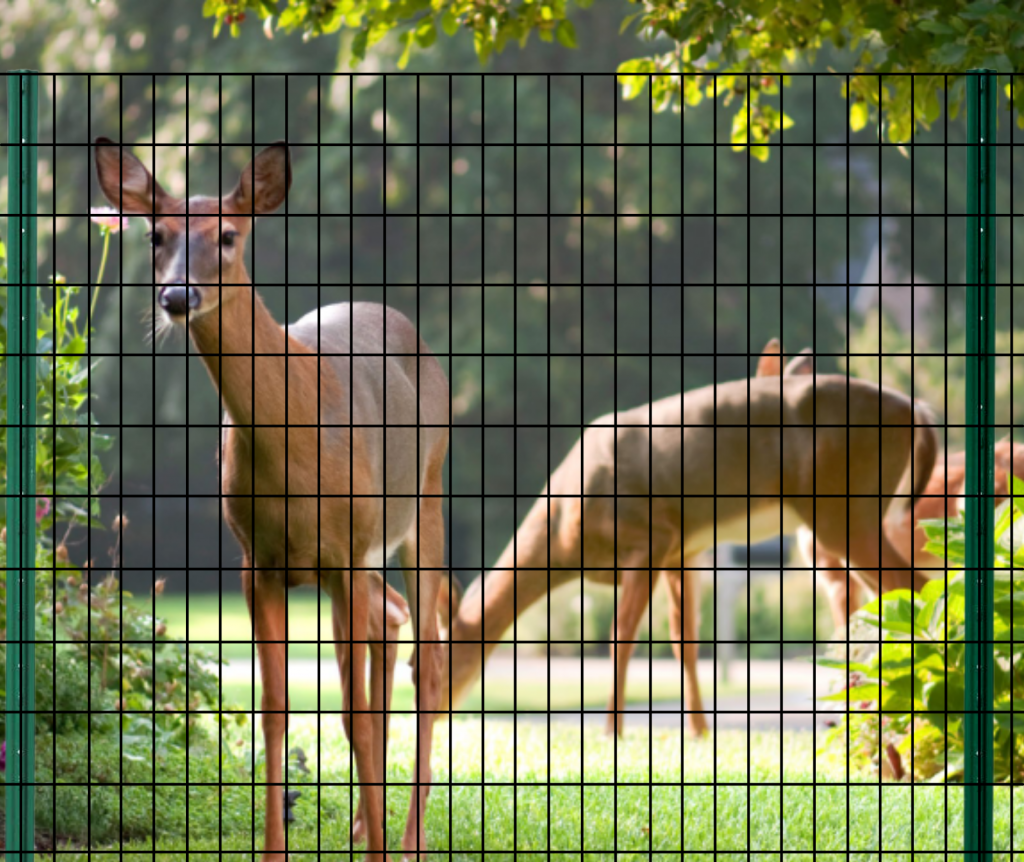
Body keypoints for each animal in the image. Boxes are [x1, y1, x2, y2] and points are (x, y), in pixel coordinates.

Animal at [94, 138, 451, 862]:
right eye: (155, 235)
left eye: (228, 236)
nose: (178, 295)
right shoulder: (256, 559)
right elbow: (277, 709)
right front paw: (277, 849)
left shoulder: (345, 553)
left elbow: (351, 713)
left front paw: (377, 849)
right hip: (371, 551)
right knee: (393, 622)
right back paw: (364, 822)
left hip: (422, 500)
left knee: (427, 660)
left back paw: (407, 840)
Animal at [443, 353, 938, 739]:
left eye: (430, 658)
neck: (565, 533)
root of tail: (913, 408)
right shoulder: (680, 554)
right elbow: (685, 640)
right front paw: (699, 732)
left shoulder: (649, 536)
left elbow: (620, 637)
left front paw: (611, 733)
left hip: (842, 508)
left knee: (914, 587)